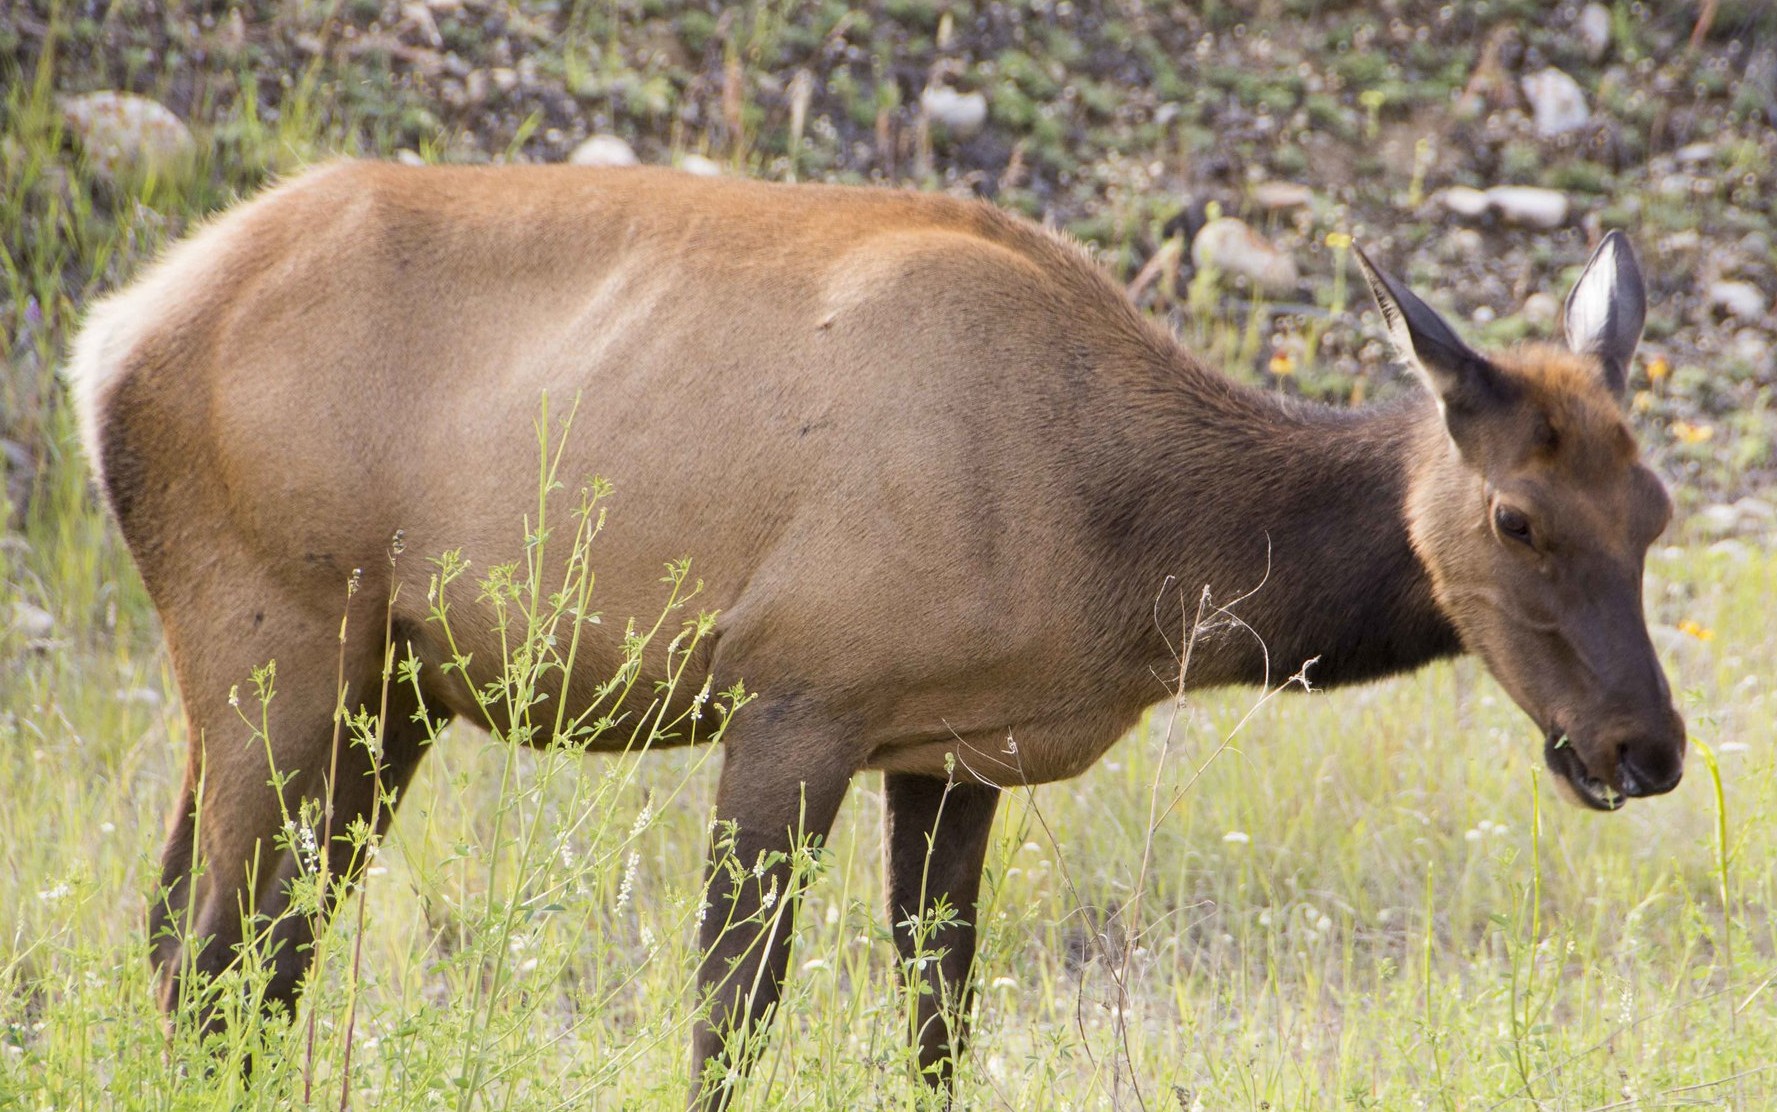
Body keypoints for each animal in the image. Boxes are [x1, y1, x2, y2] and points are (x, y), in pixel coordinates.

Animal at [66, 161, 1683, 1107]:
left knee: (217, 943)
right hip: (275, 631)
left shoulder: (952, 750)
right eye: (1517, 519)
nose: (1643, 746)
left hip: (379, 685)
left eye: (1655, 509)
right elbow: (730, 1016)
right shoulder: (796, 699)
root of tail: (104, 346)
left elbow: (937, 1016)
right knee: (209, 958)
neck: (1130, 554)